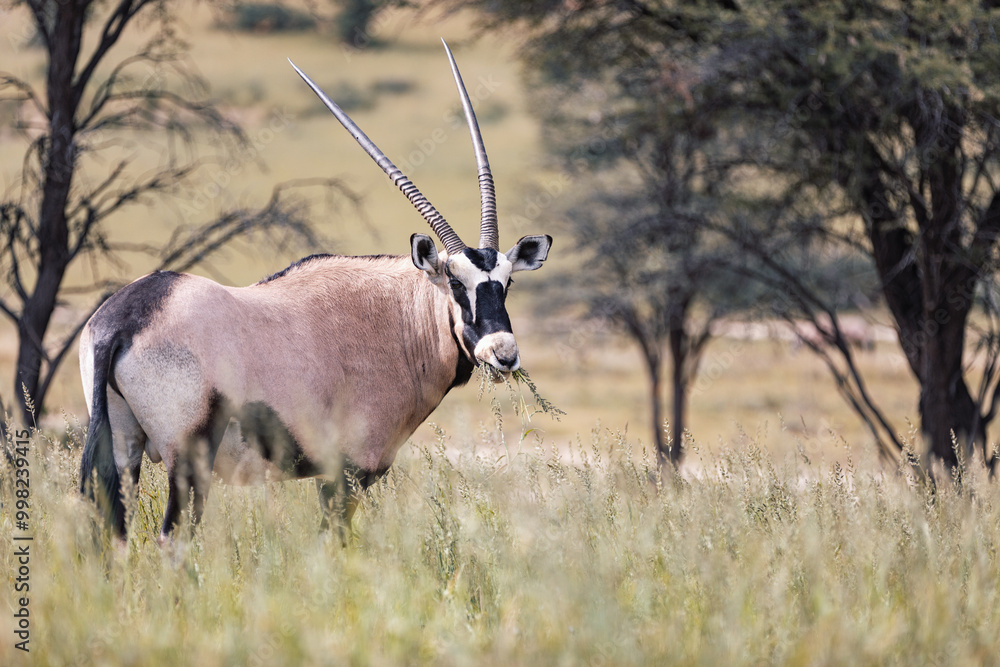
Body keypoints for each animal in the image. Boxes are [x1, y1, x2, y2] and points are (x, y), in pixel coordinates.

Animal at [79, 42, 552, 543]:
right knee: (173, 538)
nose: (503, 354)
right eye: (456, 283)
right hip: (188, 462)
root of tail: (123, 321)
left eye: (507, 282)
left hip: (123, 451)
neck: (398, 319)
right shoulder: (347, 473)